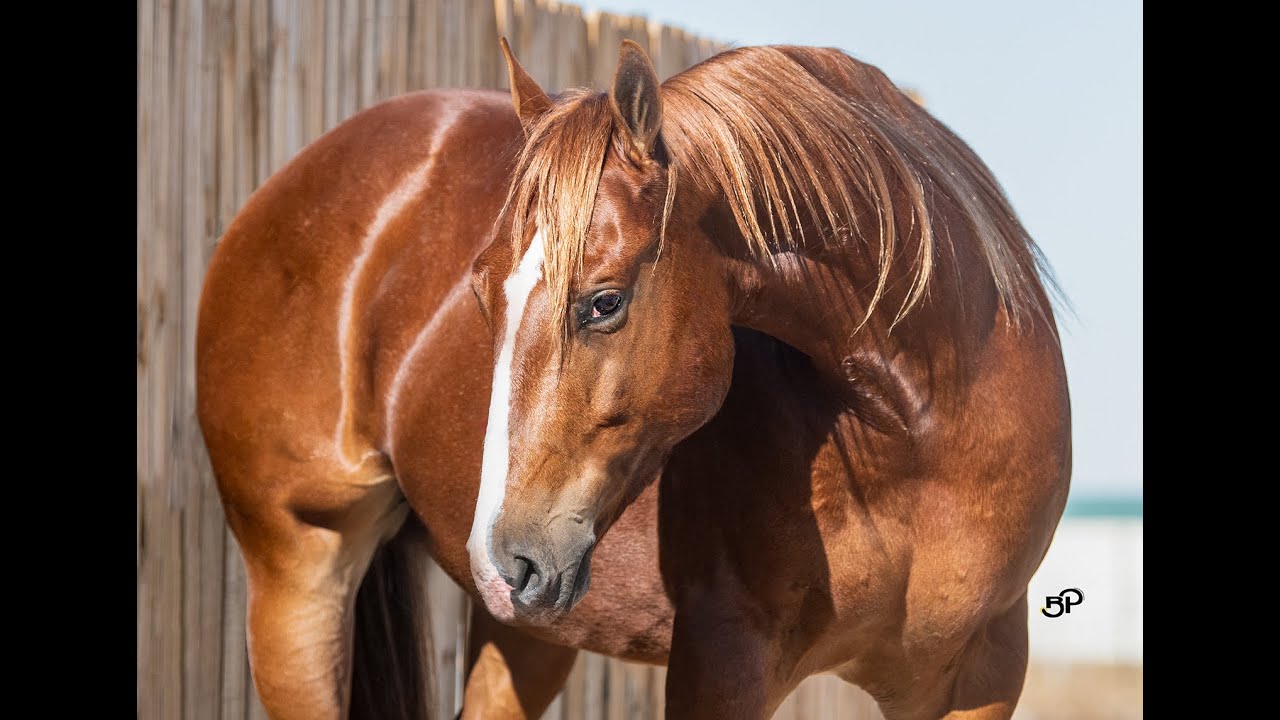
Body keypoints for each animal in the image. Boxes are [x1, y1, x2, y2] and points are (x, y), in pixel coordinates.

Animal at [196, 37, 1071, 720]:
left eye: (604, 302)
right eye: (479, 292)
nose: (503, 558)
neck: (920, 430)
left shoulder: (982, 672)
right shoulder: (723, 660)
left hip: (524, 633)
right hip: (301, 580)